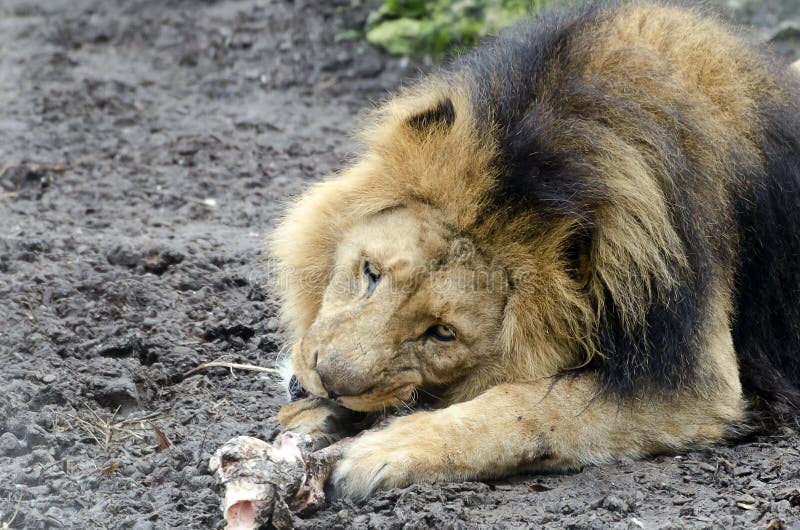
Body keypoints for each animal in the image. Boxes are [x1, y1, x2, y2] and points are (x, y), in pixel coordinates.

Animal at [268, 2, 800, 500]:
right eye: (371, 272)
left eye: (442, 334)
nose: (327, 378)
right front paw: (317, 418)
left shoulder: (695, 385)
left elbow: (533, 406)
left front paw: (388, 449)